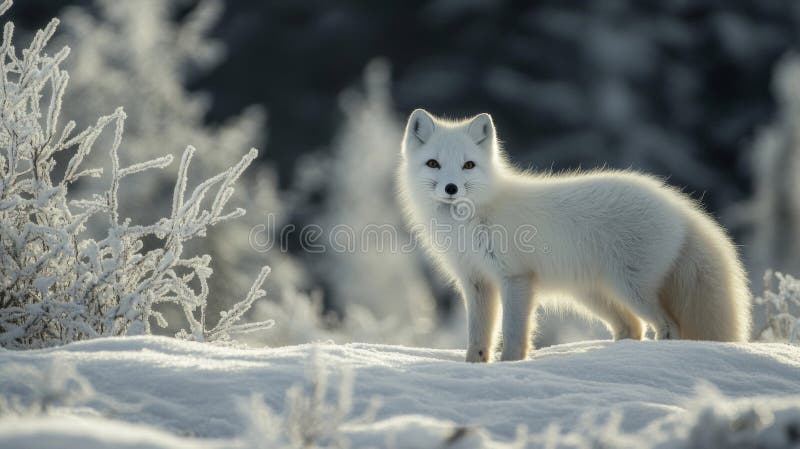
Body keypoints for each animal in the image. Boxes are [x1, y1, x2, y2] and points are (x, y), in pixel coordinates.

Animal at [398, 109, 752, 362]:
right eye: (433, 163)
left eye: (468, 165)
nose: (451, 188)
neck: (473, 220)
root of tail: (677, 205)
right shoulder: (476, 281)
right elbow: (478, 338)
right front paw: (474, 368)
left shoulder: (515, 278)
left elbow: (512, 335)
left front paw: (510, 366)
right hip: (593, 294)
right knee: (631, 326)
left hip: (632, 288)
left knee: (667, 326)